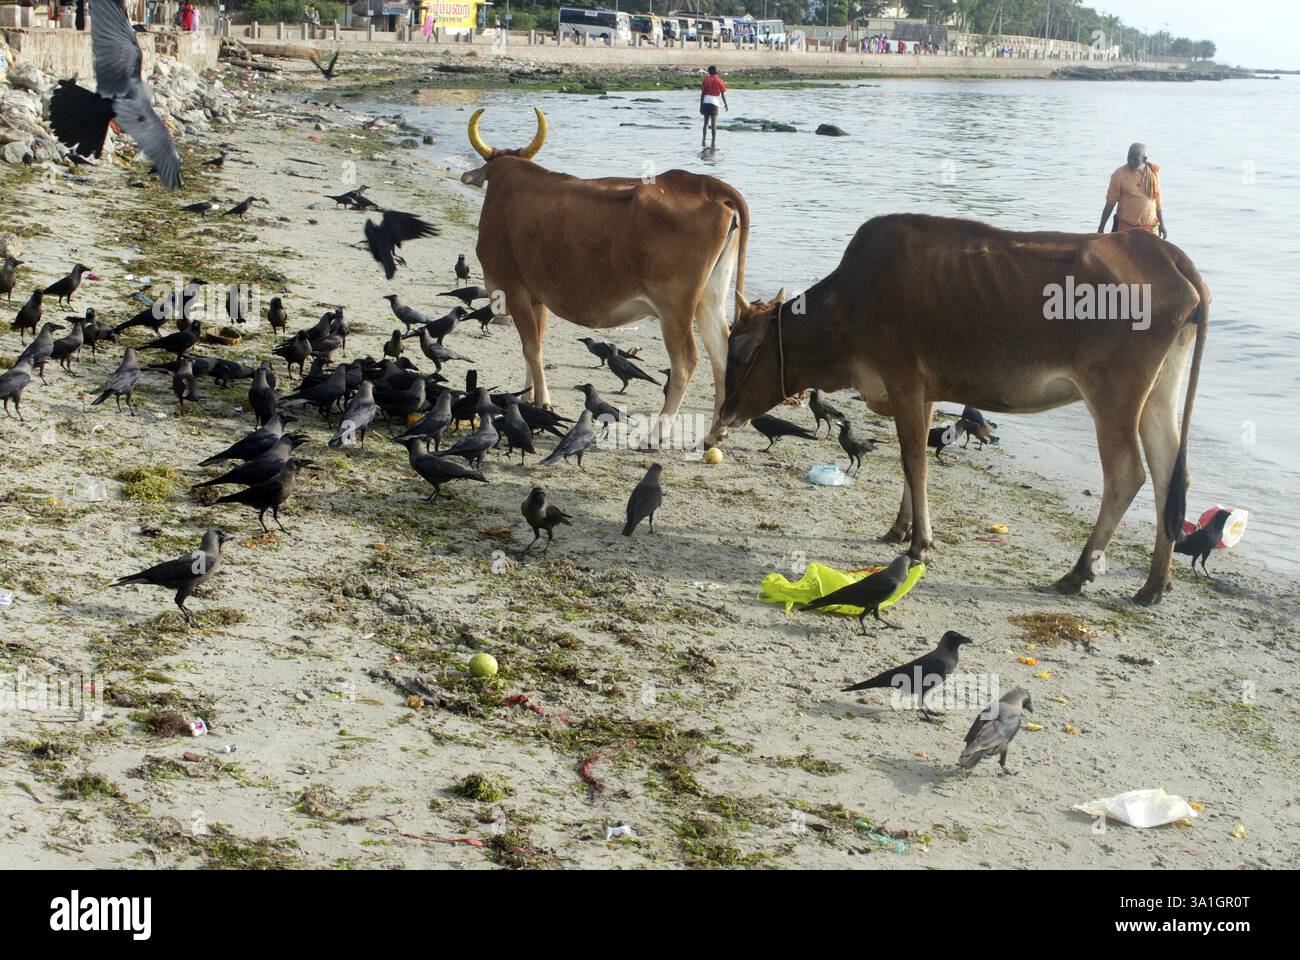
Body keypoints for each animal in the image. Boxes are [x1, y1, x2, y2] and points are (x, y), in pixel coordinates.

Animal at [460, 108, 750, 444]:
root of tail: (704, 185)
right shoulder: (536, 295)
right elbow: (535, 345)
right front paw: (530, 394)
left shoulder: (513, 288)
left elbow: (531, 345)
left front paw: (542, 399)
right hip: (710, 299)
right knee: (721, 355)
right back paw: (716, 432)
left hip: (674, 307)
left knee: (686, 362)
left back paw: (657, 434)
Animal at [720, 214, 1210, 606]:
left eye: (741, 351)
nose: (723, 414)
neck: (850, 303)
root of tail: (1165, 253)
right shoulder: (924, 390)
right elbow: (915, 458)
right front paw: (901, 529)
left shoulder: (903, 379)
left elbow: (913, 460)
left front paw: (920, 543)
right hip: (1158, 394)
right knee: (1171, 474)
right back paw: (1154, 585)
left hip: (1114, 395)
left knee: (1128, 474)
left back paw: (1077, 573)